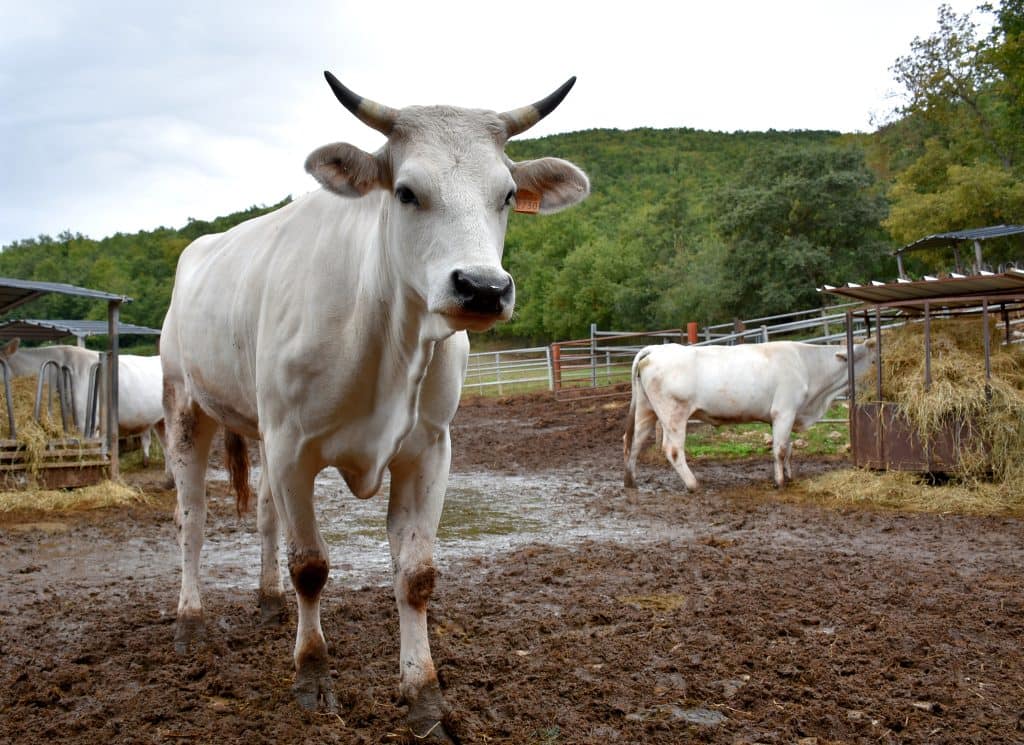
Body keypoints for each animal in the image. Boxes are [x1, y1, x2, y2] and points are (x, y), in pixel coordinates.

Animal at [160, 72, 589, 739]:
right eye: (407, 192)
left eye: (508, 194)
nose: (483, 288)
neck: (387, 338)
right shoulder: (293, 449)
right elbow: (311, 566)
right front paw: (312, 677)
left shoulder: (429, 450)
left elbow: (415, 577)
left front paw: (425, 698)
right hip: (185, 403)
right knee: (193, 520)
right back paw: (191, 621)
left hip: (258, 426)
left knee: (265, 517)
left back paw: (269, 602)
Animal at [623, 339, 877, 491]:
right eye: (873, 358)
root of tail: (656, 349)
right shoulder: (784, 411)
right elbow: (780, 449)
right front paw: (780, 482)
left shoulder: (786, 415)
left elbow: (788, 448)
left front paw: (789, 476)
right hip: (674, 414)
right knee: (673, 449)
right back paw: (694, 484)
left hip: (646, 410)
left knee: (633, 441)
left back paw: (631, 482)